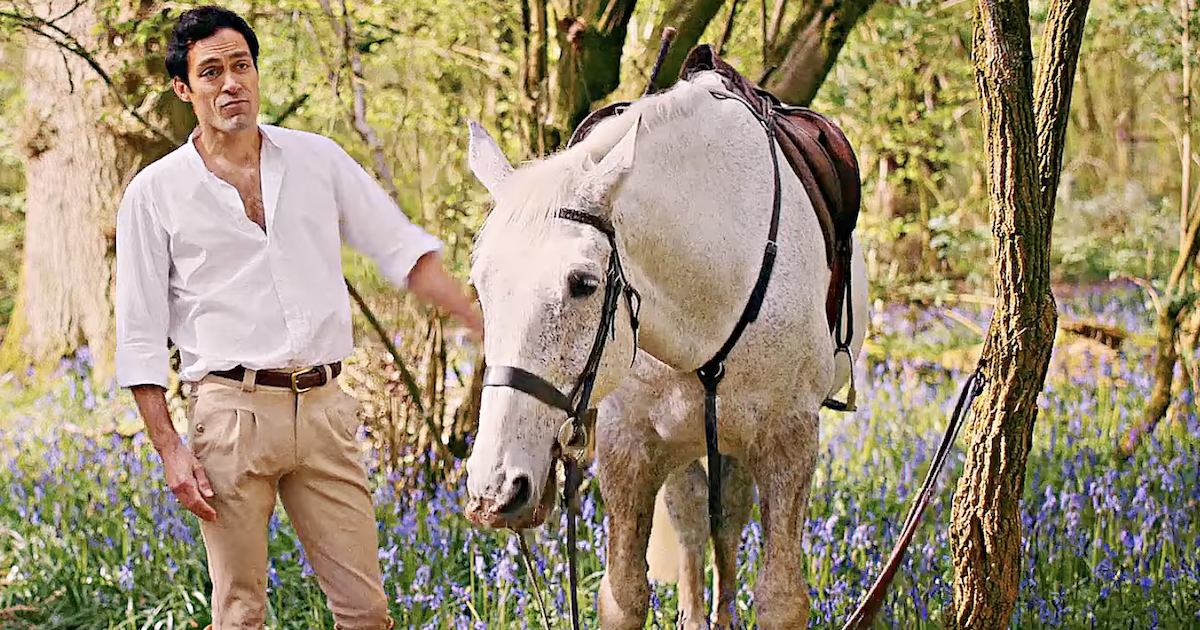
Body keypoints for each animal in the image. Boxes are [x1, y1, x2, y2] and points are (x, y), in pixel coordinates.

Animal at [460, 62, 869, 630]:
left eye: (583, 284)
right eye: (480, 286)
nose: (494, 488)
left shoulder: (788, 441)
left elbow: (781, 600)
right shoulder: (631, 447)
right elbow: (625, 596)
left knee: (725, 523)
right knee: (698, 522)